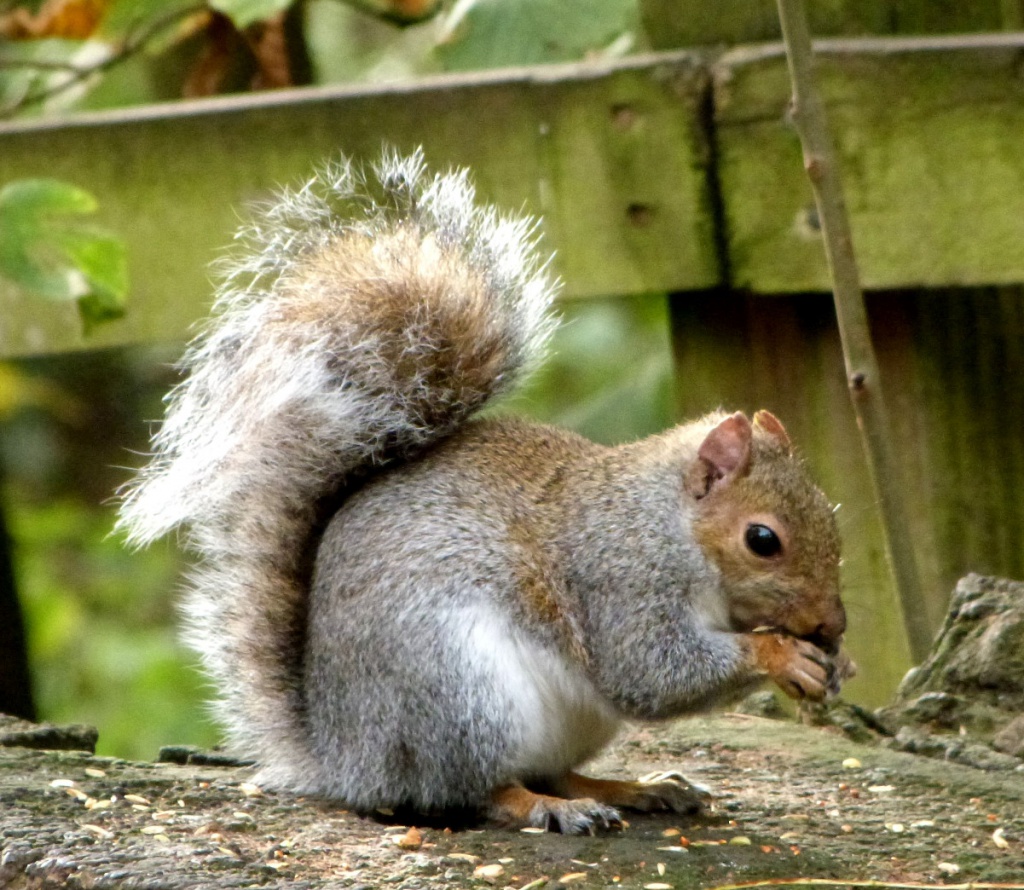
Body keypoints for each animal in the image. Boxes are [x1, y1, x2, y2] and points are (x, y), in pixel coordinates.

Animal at [118, 150, 853, 834]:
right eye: (762, 540)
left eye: (832, 519)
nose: (833, 625)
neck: (670, 522)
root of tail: (346, 757)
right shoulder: (619, 580)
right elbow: (650, 673)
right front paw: (779, 653)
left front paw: (830, 665)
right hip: (461, 691)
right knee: (473, 789)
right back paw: (546, 807)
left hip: (558, 719)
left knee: (555, 768)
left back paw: (632, 788)